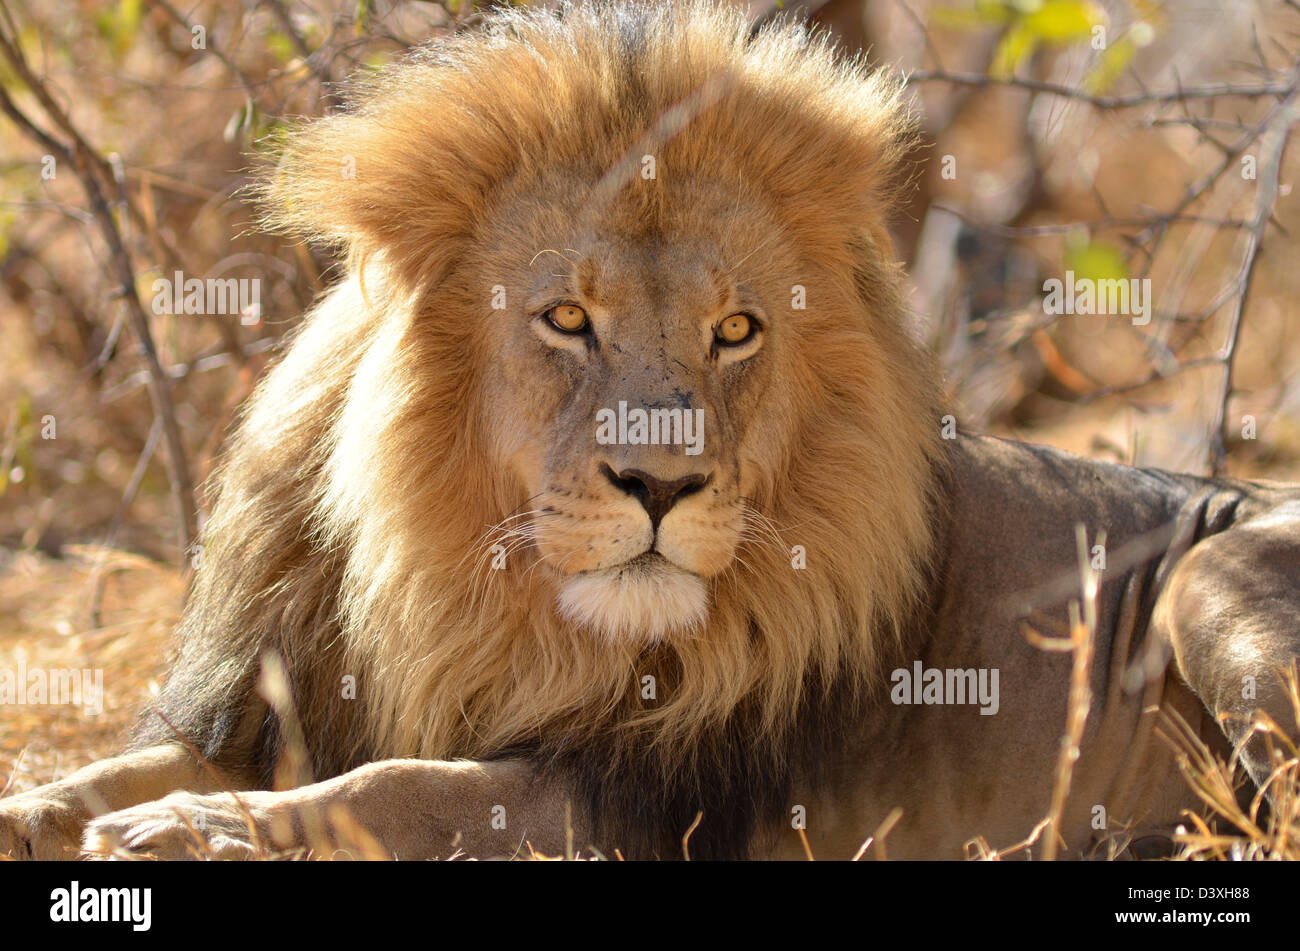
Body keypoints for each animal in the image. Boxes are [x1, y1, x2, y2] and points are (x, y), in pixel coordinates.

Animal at [2, 0, 1298, 862]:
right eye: (568, 320)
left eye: (735, 331)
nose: (663, 487)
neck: (452, 585)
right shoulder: (265, 700)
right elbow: (104, 771)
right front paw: (56, 815)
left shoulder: (638, 799)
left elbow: (400, 787)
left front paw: (193, 830)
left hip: (1210, 571)